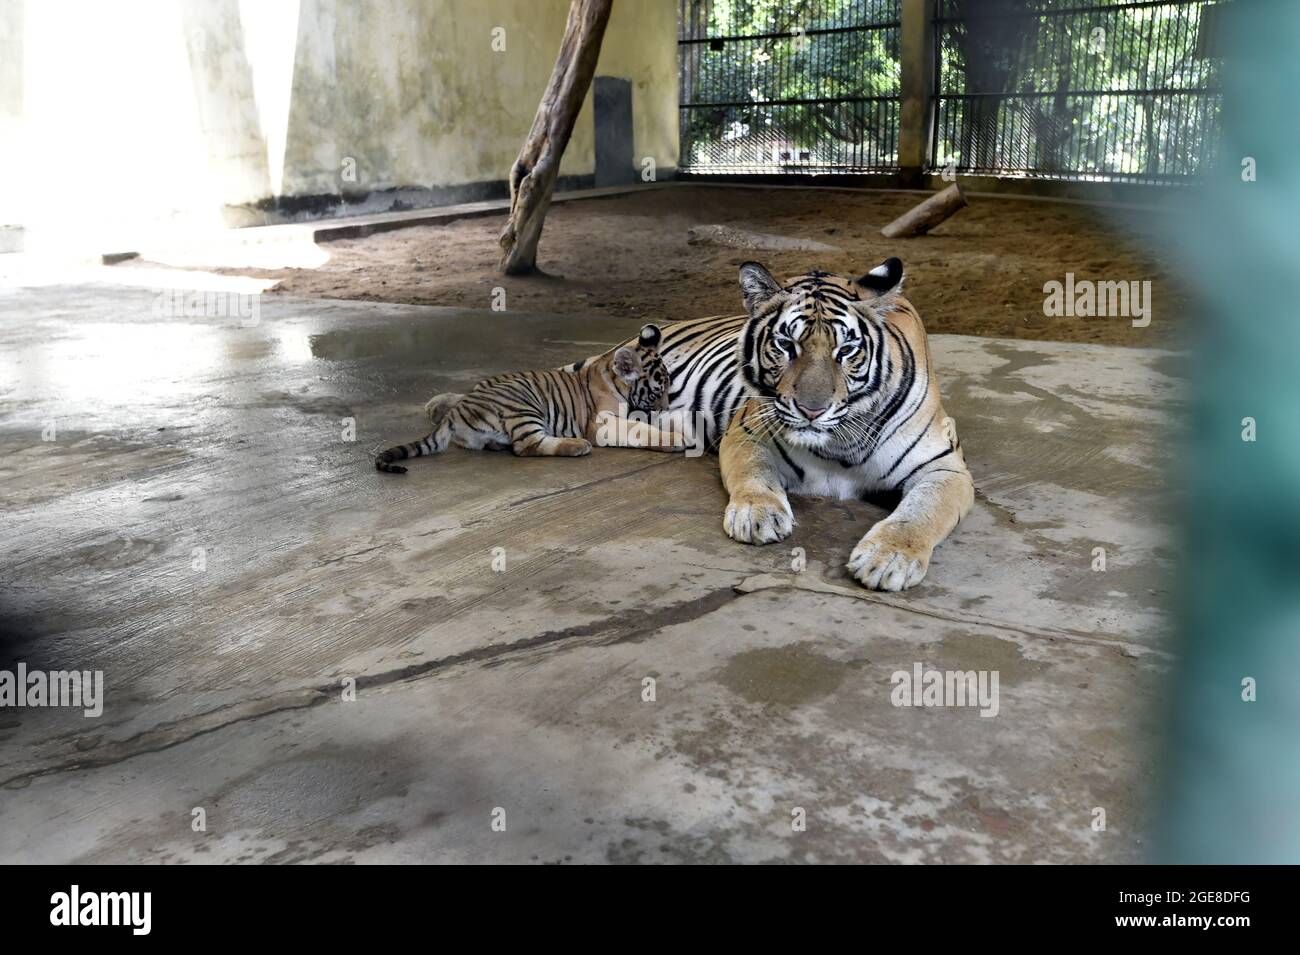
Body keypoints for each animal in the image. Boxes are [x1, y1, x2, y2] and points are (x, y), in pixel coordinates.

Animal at [375, 323, 679, 473]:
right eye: (657, 391)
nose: (666, 407)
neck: (614, 380)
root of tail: (454, 414)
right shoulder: (601, 423)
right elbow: (639, 429)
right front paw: (675, 439)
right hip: (524, 404)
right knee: (526, 446)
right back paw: (576, 445)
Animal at [562, 256, 973, 591]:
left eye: (846, 350)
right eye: (786, 345)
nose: (812, 410)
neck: (839, 441)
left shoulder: (945, 468)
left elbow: (922, 511)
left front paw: (889, 558)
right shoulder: (747, 430)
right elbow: (753, 472)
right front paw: (756, 515)